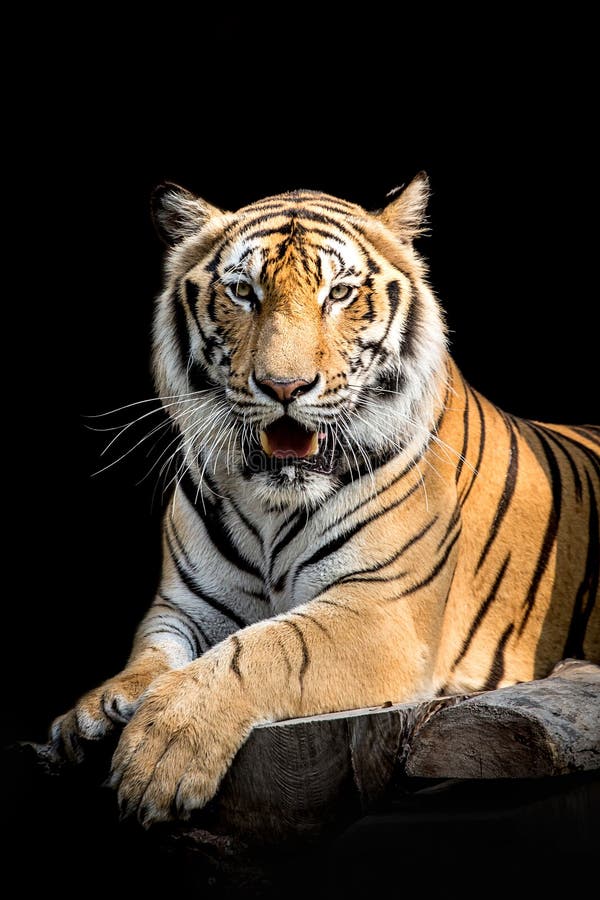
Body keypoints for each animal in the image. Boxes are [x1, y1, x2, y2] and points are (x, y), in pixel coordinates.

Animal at [51, 173, 599, 828]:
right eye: (243, 292)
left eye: (338, 293)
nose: (284, 387)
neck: (270, 505)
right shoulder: (187, 605)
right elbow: (154, 654)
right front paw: (96, 711)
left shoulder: (382, 609)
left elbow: (268, 649)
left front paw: (163, 748)